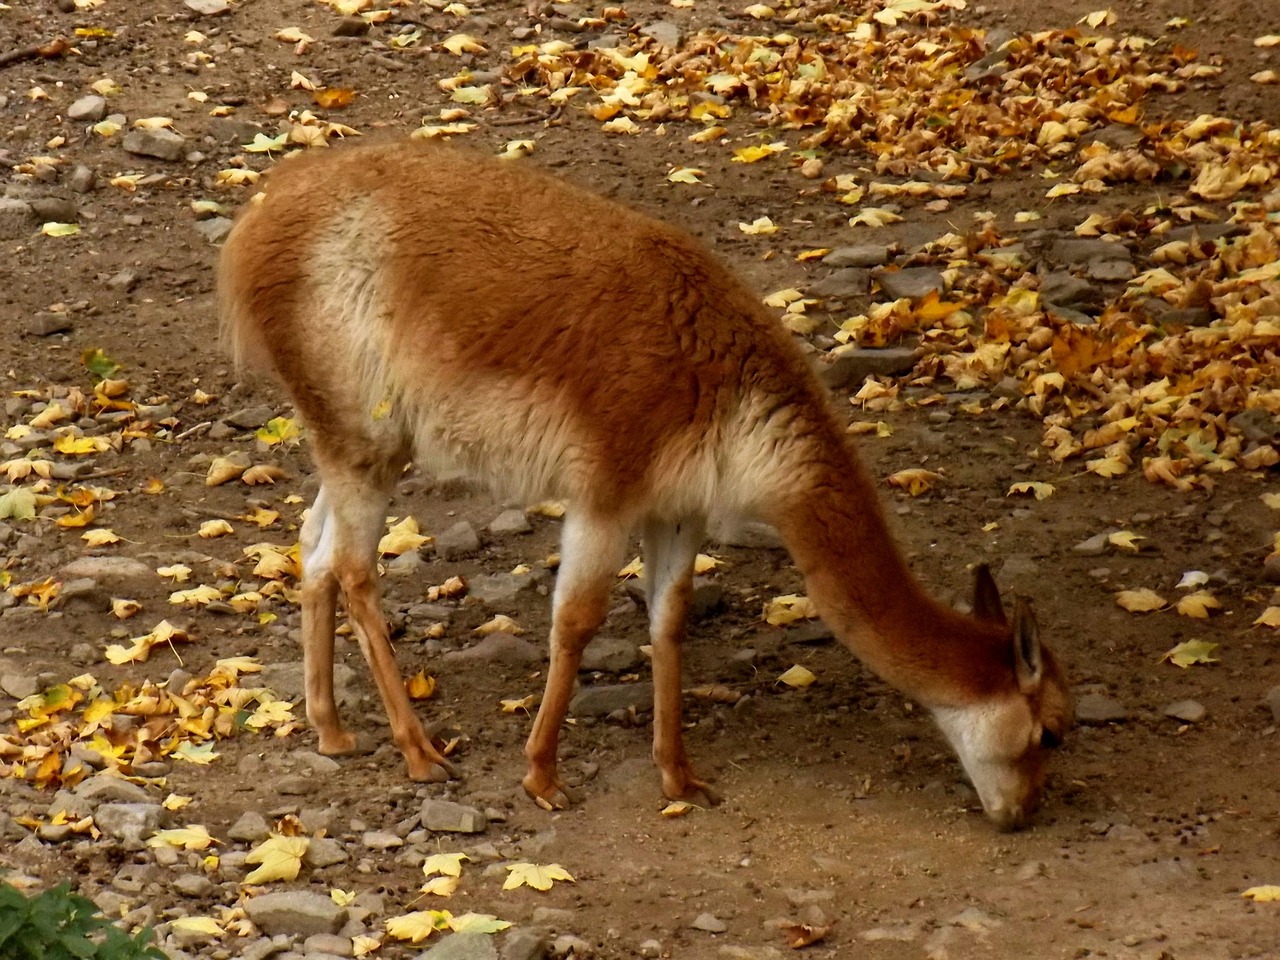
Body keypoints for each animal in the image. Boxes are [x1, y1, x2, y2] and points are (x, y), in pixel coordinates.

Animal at [218, 139, 1072, 831]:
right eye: (1052, 730)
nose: (1025, 813)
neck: (734, 403)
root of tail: (254, 225)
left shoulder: (678, 508)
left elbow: (668, 622)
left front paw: (679, 776)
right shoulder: (608, 488)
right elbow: (577, 622)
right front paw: (542, 777)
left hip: (366, 436)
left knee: (313, 547)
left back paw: (331, 728)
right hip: (358, 426)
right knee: (356, 568)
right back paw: (419, 751)